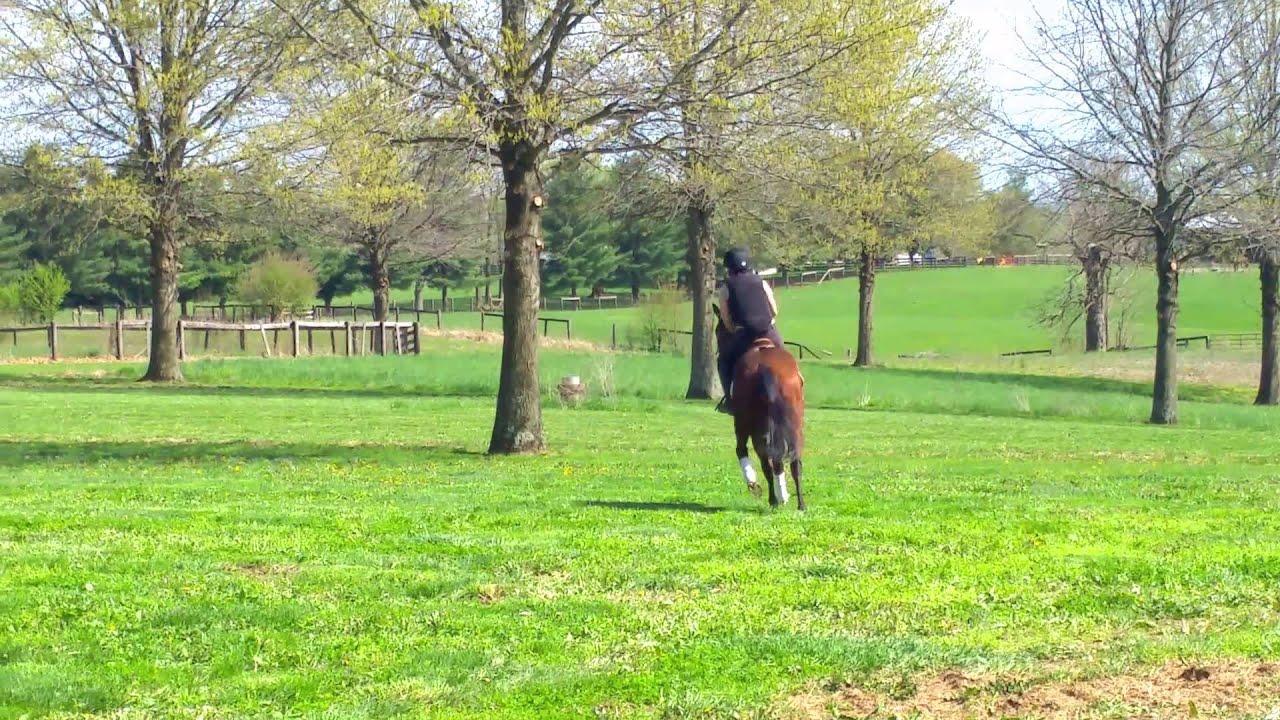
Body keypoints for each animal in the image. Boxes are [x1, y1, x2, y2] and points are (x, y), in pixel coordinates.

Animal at [713, 304, 806, 511]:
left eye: (718, 331)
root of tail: (766, 368)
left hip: (747, 423)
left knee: (755, 456)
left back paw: (769, 495)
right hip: (793, 424)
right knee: (793, 461)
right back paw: (800, 505)